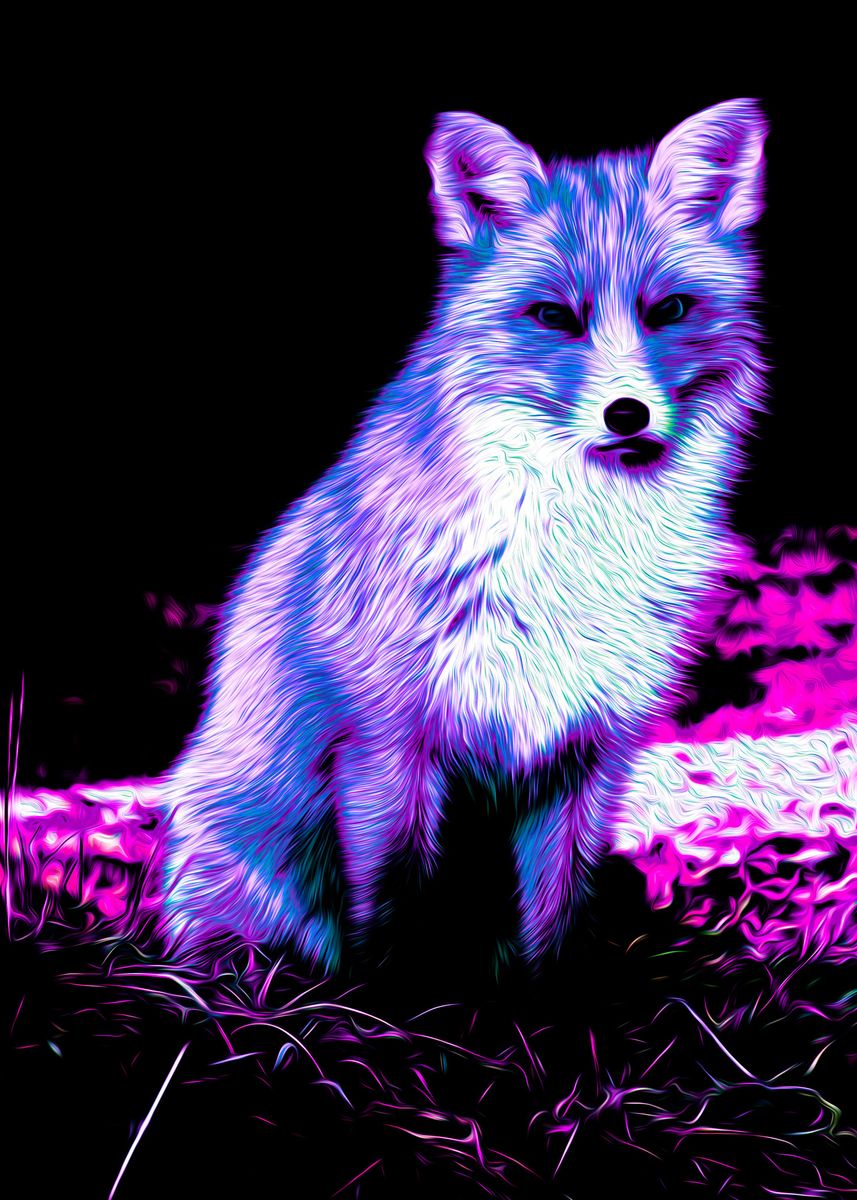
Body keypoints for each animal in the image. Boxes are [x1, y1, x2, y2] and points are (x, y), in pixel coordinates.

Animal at [160, 99, 768, 972]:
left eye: (668, 312)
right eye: (553, 317)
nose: (627, 415)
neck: (573, 550)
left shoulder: (587, 750)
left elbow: (556, 910)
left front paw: (557, 996)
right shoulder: (388, 741)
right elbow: (394, 904)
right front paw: (397, 1002)